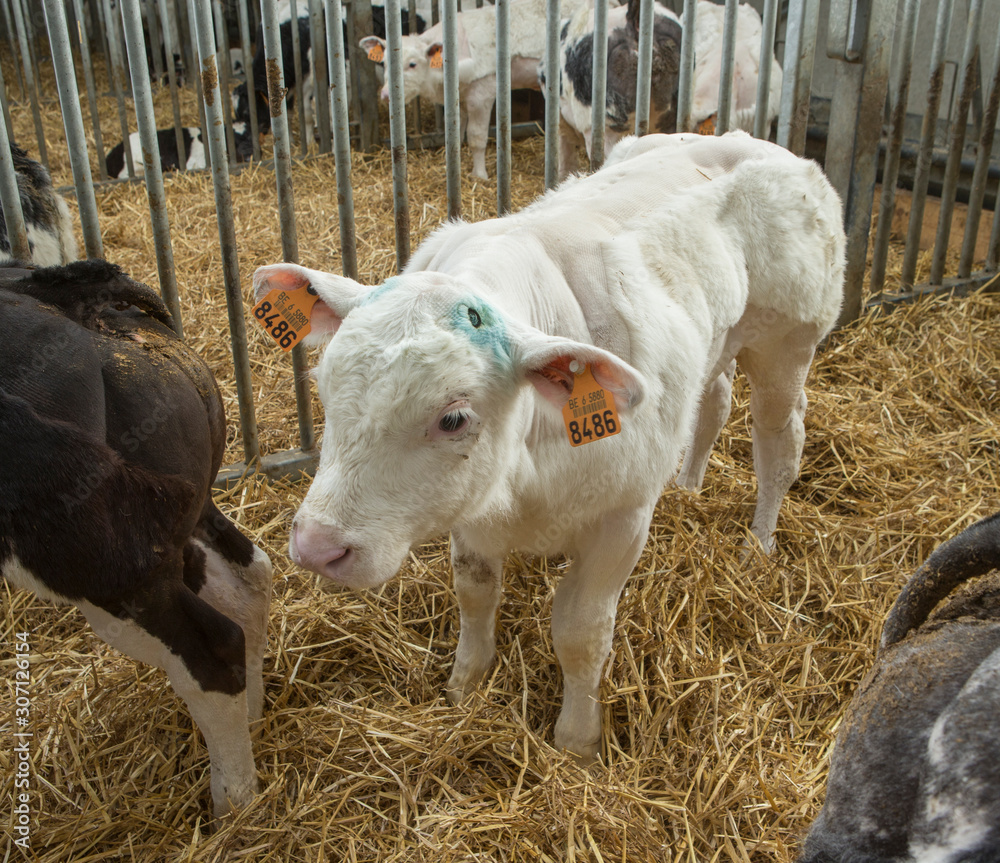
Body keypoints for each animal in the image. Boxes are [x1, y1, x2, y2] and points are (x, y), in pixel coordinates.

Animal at [254, 131, 845, 763]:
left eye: (454, 418)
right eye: (322, 384)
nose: (317, 548)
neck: (525, 468)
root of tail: (751, 141)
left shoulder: (622, 517)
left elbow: (582, 634)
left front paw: (577, 740)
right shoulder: (472, 505)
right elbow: (475, 594)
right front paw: (464, 685)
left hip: (788, 344)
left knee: (779, 438)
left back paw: (760, 540)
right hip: (721, 341)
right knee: (713, 402)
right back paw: (688, 487)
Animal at [360, 0, 587, 180]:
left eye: (412, 64)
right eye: (384, 63)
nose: (386, 94)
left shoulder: (482, 93)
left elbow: (476, 137)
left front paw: (479, 175)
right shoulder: (458, 98)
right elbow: (456, 134)